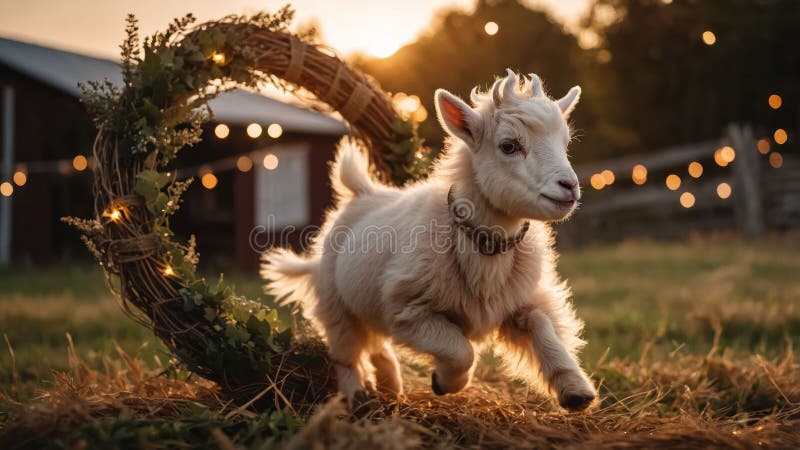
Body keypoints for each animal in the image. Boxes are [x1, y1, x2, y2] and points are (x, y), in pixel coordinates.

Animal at [261, 69, 597, 411]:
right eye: (509, 145)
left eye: (565, 143)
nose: (569, 187)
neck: (484, 251)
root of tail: (361, 191)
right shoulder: (409, 312)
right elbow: (461, 351)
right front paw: (445, 383)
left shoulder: (517, 301)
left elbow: (541, 323)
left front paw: (576, 390)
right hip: (336, 304)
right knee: (348, 356)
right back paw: (356, 398)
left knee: (377, 346)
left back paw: (391, 389)